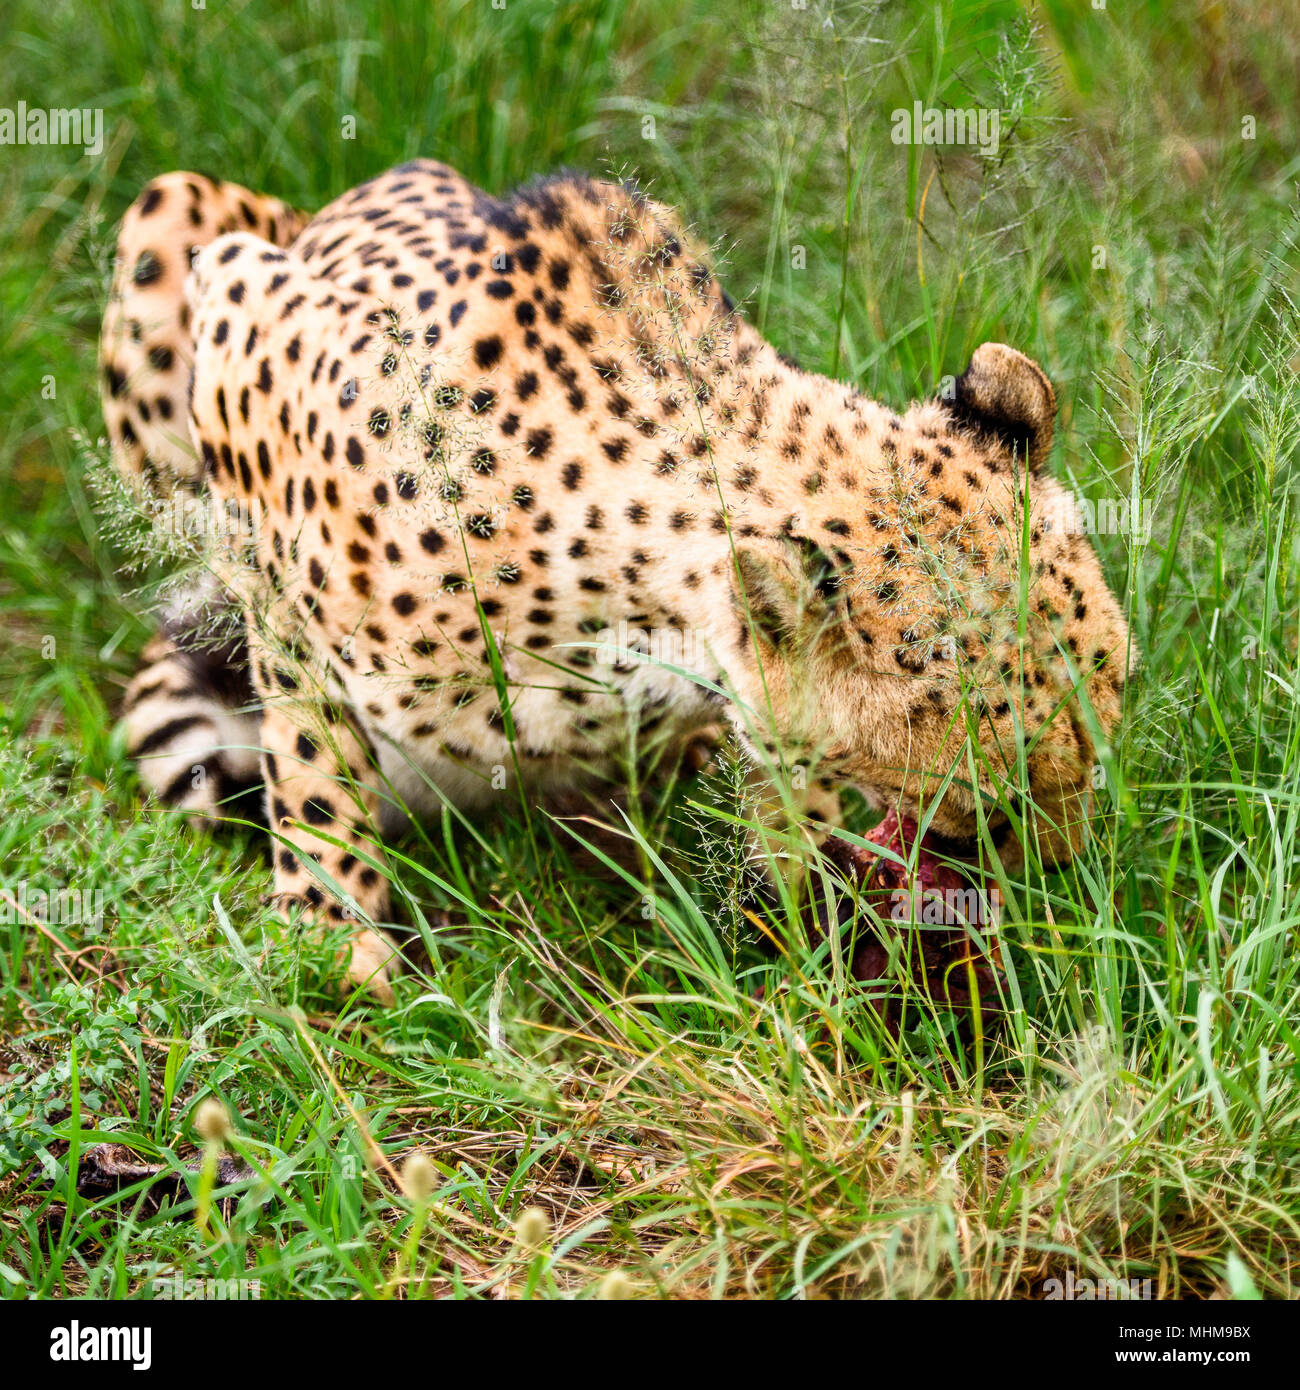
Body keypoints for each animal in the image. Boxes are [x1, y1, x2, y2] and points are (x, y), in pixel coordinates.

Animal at [99, 159, 1134, 1002]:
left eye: (1103, 723)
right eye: (989, 807)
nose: (1064, 870)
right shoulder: (244, 325)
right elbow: (310, 761)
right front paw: (335, 947)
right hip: (169, 221)